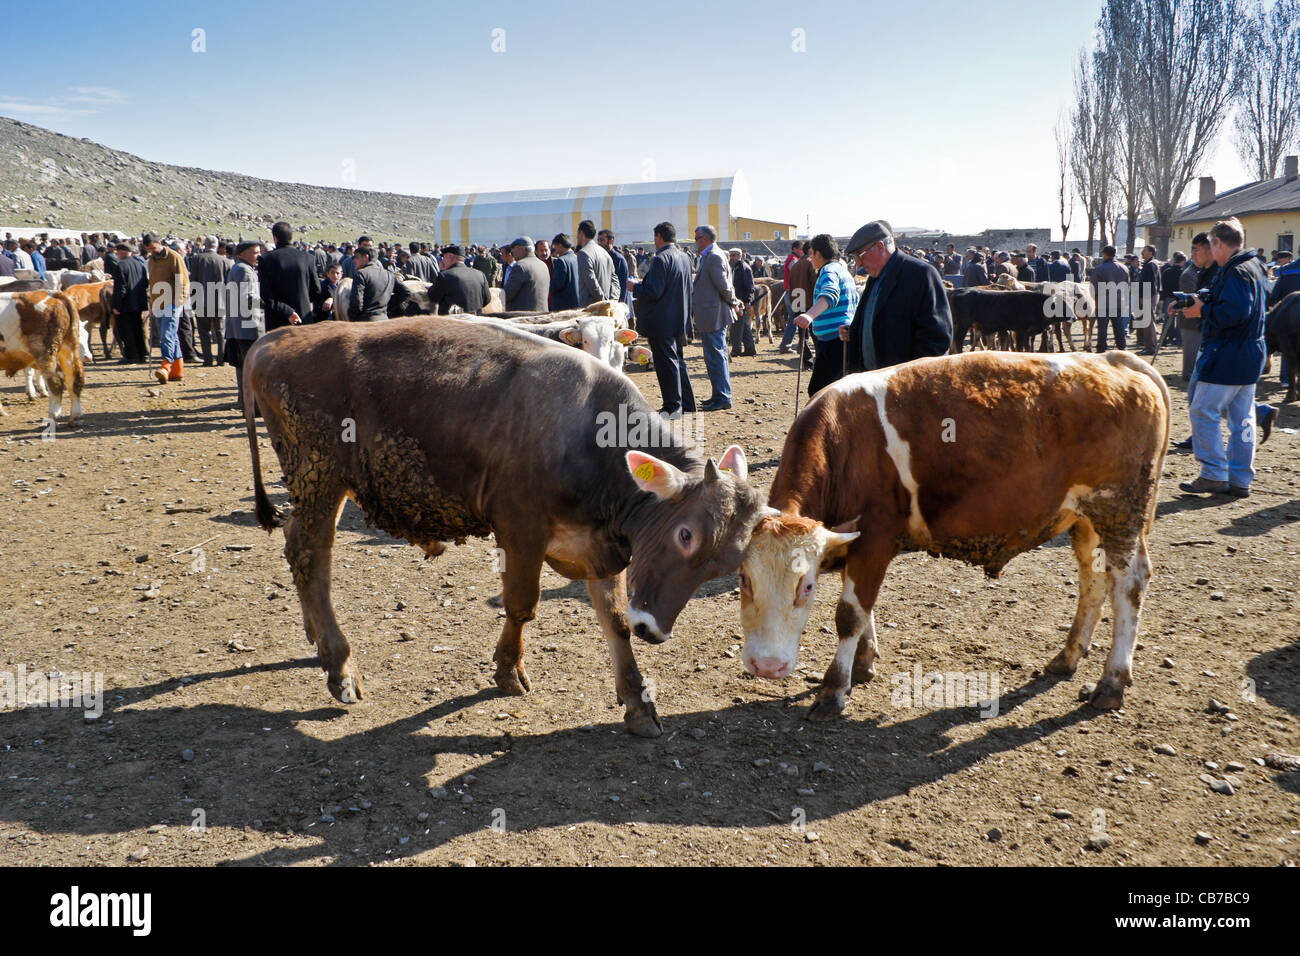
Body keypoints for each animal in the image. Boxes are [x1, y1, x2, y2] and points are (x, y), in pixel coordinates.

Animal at [0, 290, 85, 421]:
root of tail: (52, 294)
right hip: (69, 346)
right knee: (74, 378)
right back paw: (75, 416)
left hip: (45, 351)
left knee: (56, 381)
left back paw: (53, 415)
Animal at [242, 316, 763, 736]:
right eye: (685, 534)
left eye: (727, 564)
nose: (653, 630)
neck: (587, 435)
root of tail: (275, 338)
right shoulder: (520, 530)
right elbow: (521, 605)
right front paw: (508, 671)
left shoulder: (601, 545)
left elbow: (614, 620)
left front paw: (637, 701)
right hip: (319, 477)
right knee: (311, 555)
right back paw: (340, 667)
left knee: (298, 550)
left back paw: (316, 639)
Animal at [736, 350, 1169, 720]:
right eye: (743, 579)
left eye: (807, 586)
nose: (767, 666)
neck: (846, 442)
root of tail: (1115, 361)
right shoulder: (852, 541)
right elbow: (863, 607)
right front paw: (864, 661)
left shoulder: (874, 539)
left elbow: (850, 614)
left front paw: (833, 689)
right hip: (1086, 518)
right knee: (1092, 580)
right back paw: (1067, 657)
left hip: (1120, 512)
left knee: (1128, 585)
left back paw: (1111, 682)